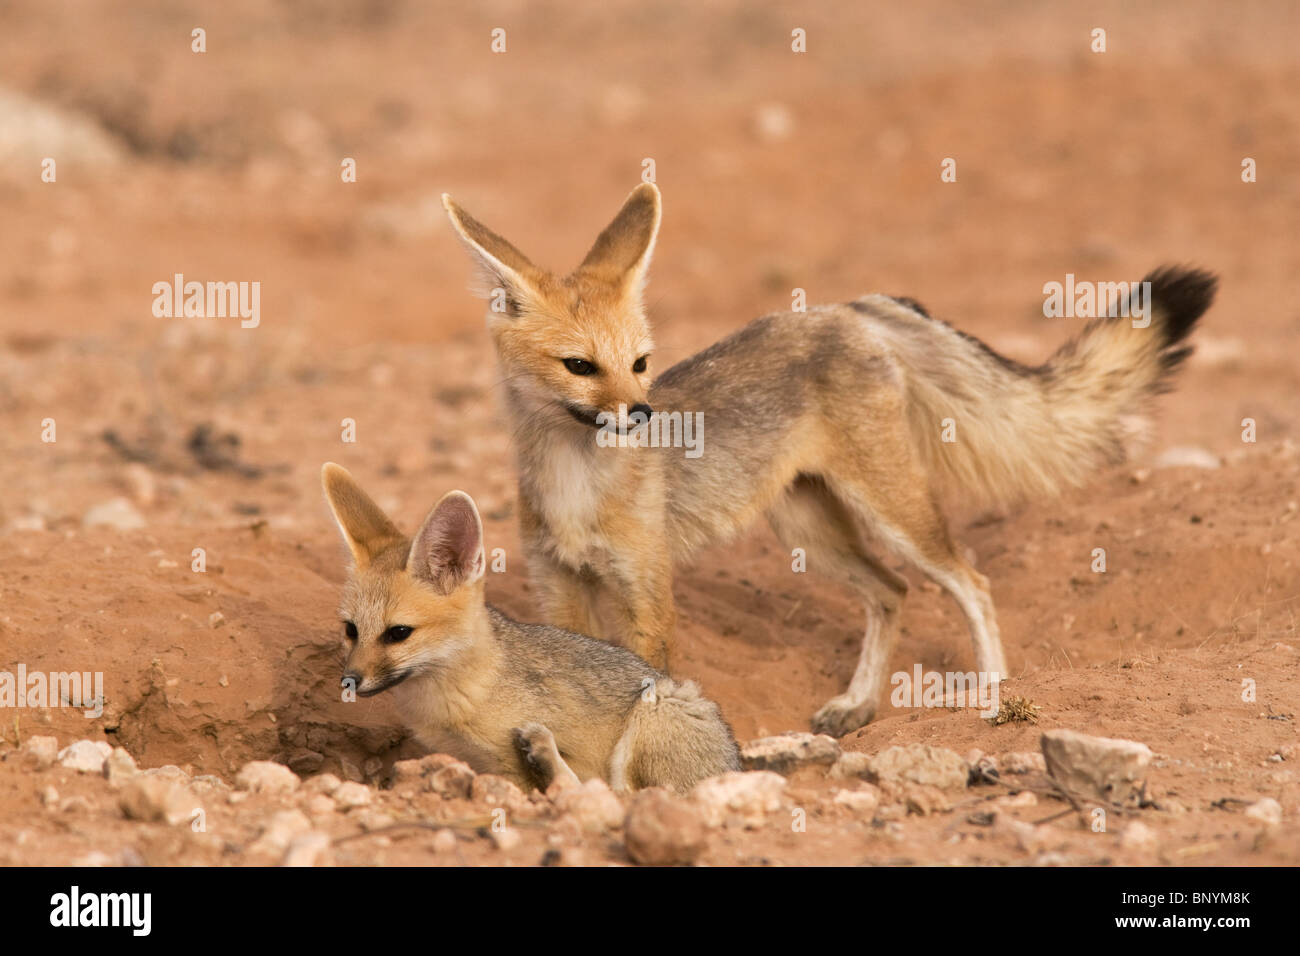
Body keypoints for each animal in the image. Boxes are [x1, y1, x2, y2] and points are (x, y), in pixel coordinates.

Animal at [320, 462, 740, 792]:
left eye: (398, 633)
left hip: (654, 711)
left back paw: (544, 752)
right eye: (351, 630)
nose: (349, 681)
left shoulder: (509, 765)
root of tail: (734, 760)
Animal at [440, 183, 1217, 737]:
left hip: (893, 512)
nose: (645, 415)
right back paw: (857, 705)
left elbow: (648, 683)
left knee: (970, 580)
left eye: (639, 363)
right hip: (809, 530)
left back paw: (995, 693)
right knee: (891, 590)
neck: (576, 485)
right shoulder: (560, 587)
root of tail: (852, 308)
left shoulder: (647, 591)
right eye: (580, 366)